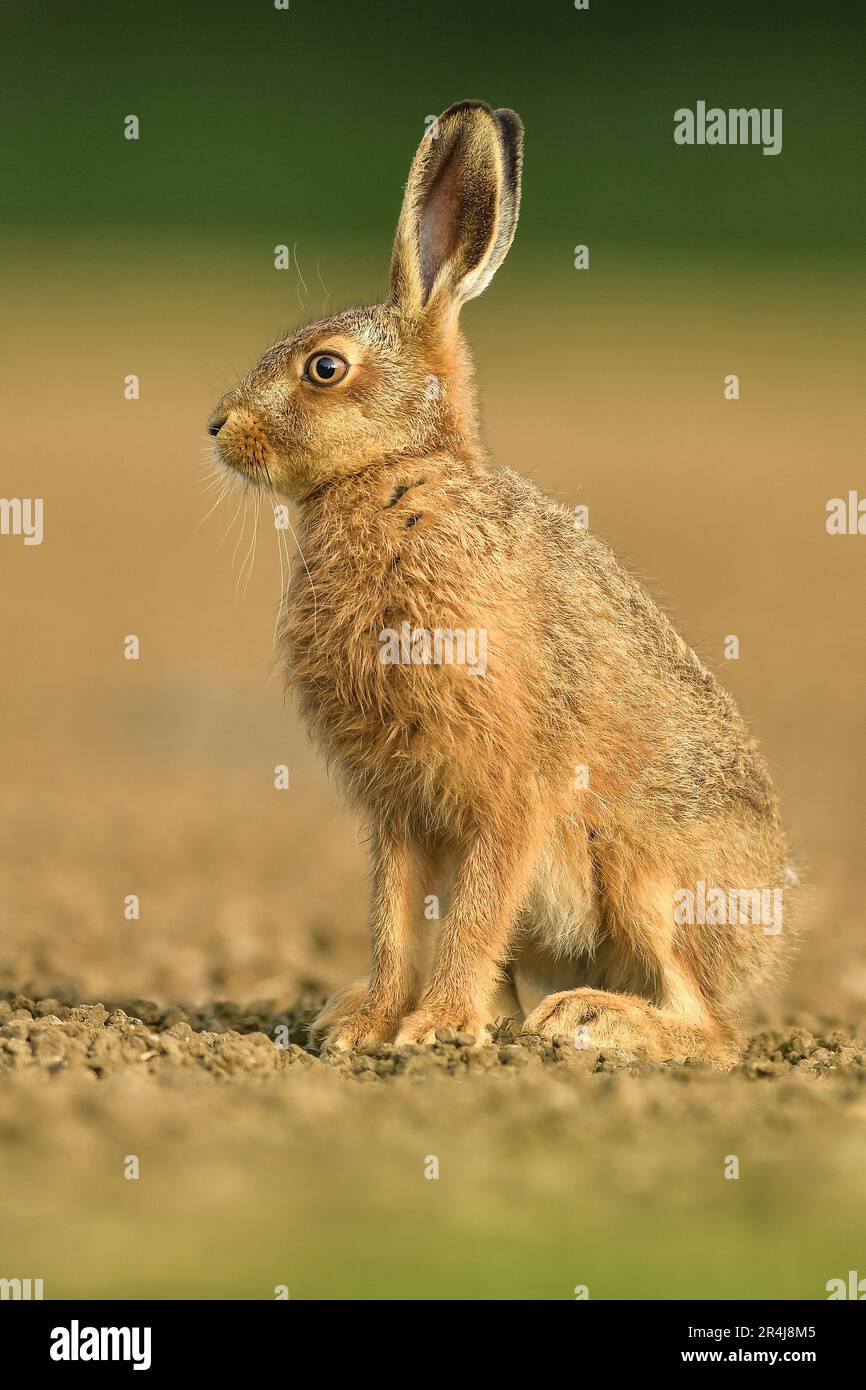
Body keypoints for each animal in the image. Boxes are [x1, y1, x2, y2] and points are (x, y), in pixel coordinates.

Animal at [208, 100, 796, 1066]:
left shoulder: (508, 787)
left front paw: (436, 1028)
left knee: (713, 1031)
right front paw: (372, 1025)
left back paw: (590, 1020)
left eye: (324, 368)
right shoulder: (398, 809)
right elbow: (393, 921)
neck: (399, 478)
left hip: (645, 875)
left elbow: (476, 911)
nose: (218, 426)